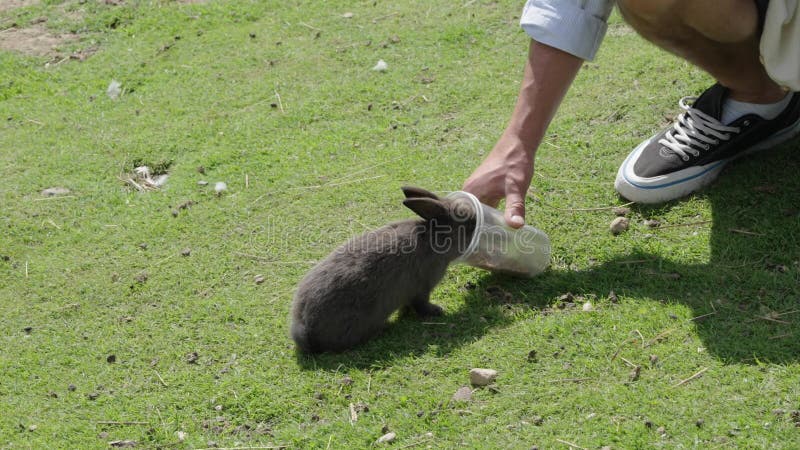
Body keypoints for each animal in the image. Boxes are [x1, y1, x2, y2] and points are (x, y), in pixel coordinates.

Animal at [290, 186, 477, 353]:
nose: (477, 224)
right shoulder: (421, 288)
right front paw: (437, 311)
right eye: (467, 222)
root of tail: (305, 329)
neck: (436, 239)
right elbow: (421, 304)